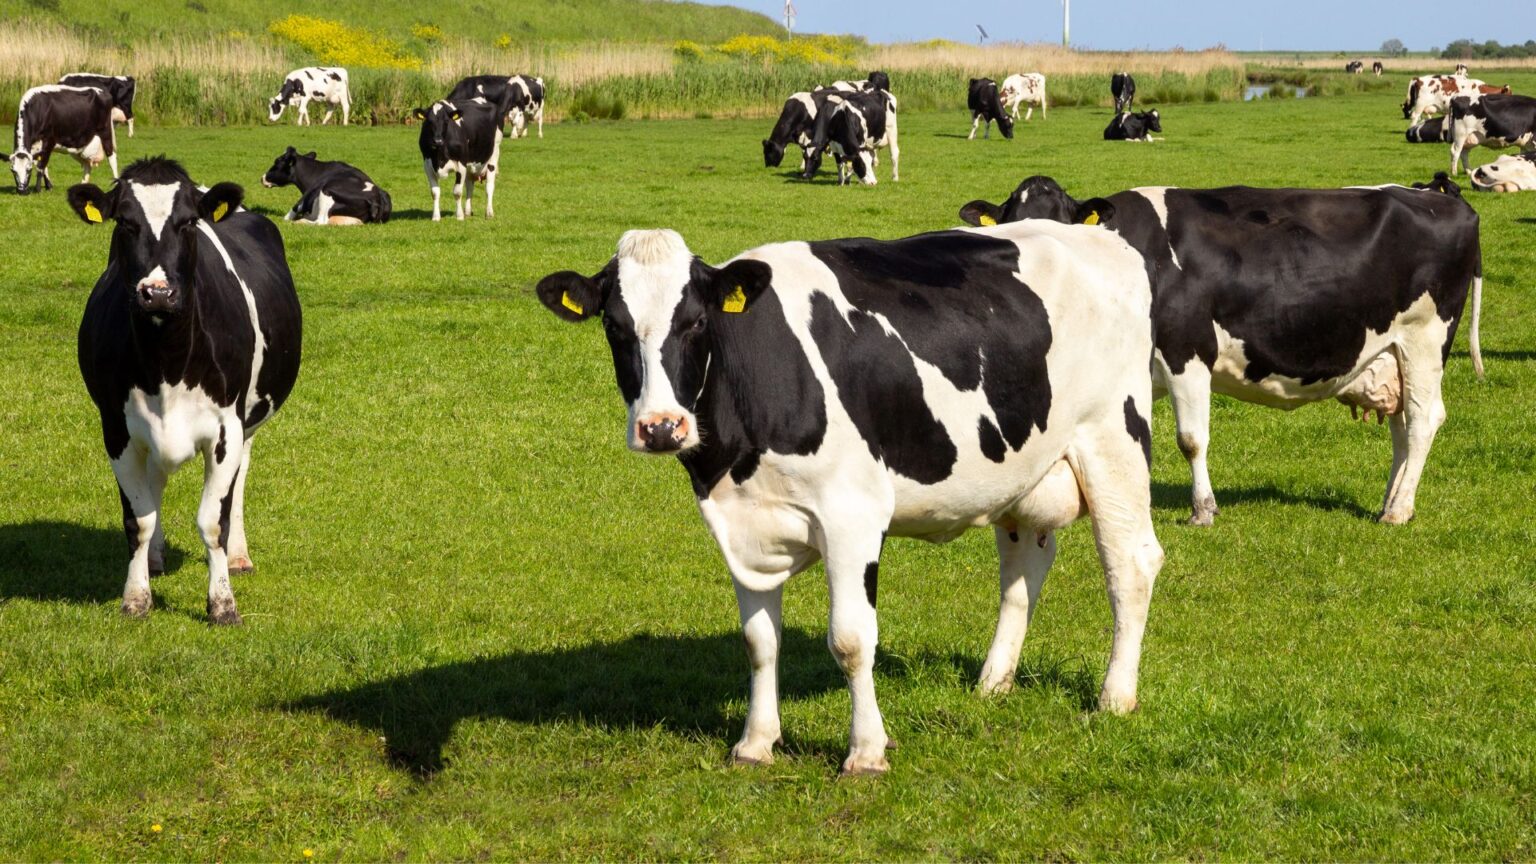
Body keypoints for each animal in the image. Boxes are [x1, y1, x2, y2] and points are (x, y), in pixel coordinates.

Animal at [68, 156, 302, 624]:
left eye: (189, 222)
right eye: (125, 222)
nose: (157, 293)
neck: (167, 362)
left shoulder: (227, 429)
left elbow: (213, 521)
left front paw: (223, 604)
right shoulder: (116, 429)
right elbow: (138, 519)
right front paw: (136, 597)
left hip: (247, 422)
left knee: (240, 480)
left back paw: (238, 556)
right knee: (154, 483)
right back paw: (156, 558)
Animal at [260, 146, 392, 225]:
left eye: (277, 162)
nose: (262, 178)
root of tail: (377, 199)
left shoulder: (306, 196)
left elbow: (292, 210)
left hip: (326, 191)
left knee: (320, 221)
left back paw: (300, 222)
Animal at [534, 223, 1163, 775]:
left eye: (694, 323)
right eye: (615, 327)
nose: (662, 427)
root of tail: (1099, 236)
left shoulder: (851, 516)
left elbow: (852, 639)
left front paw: (866, 752)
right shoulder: (741, 522)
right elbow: (759, 640)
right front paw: (755, 743)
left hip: (1113, 438)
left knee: (1131, 563)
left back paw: (1114, 696)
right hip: (1021, 470)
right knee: (1024, 567)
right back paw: (993, 683)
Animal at [959, 176, 1483, 526]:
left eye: (1062, 228)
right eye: (1007, 226)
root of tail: (1440, 196)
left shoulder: (1187, 350)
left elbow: (1191, 439)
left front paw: (1203, 510)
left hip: (1426, 338)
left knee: (1423, 420)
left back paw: (1397, 510)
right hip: (1391, 351)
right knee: (1401, 425)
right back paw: (1393, 500)